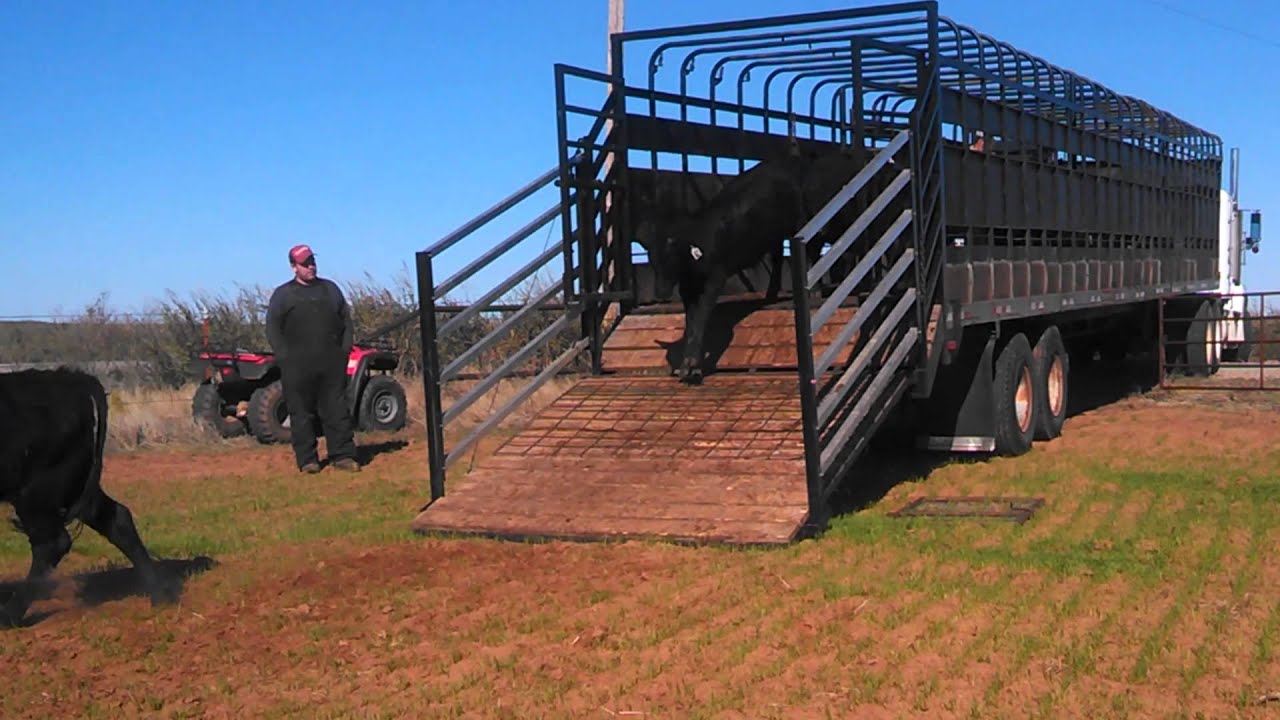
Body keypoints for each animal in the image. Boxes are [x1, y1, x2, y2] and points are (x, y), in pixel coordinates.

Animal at [0, 367, 179, 626]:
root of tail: (72, 378)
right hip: (75, 490)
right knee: (117, 519)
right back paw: (160, 595)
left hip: (37, 495)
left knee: (52, 544)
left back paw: (9, 615)